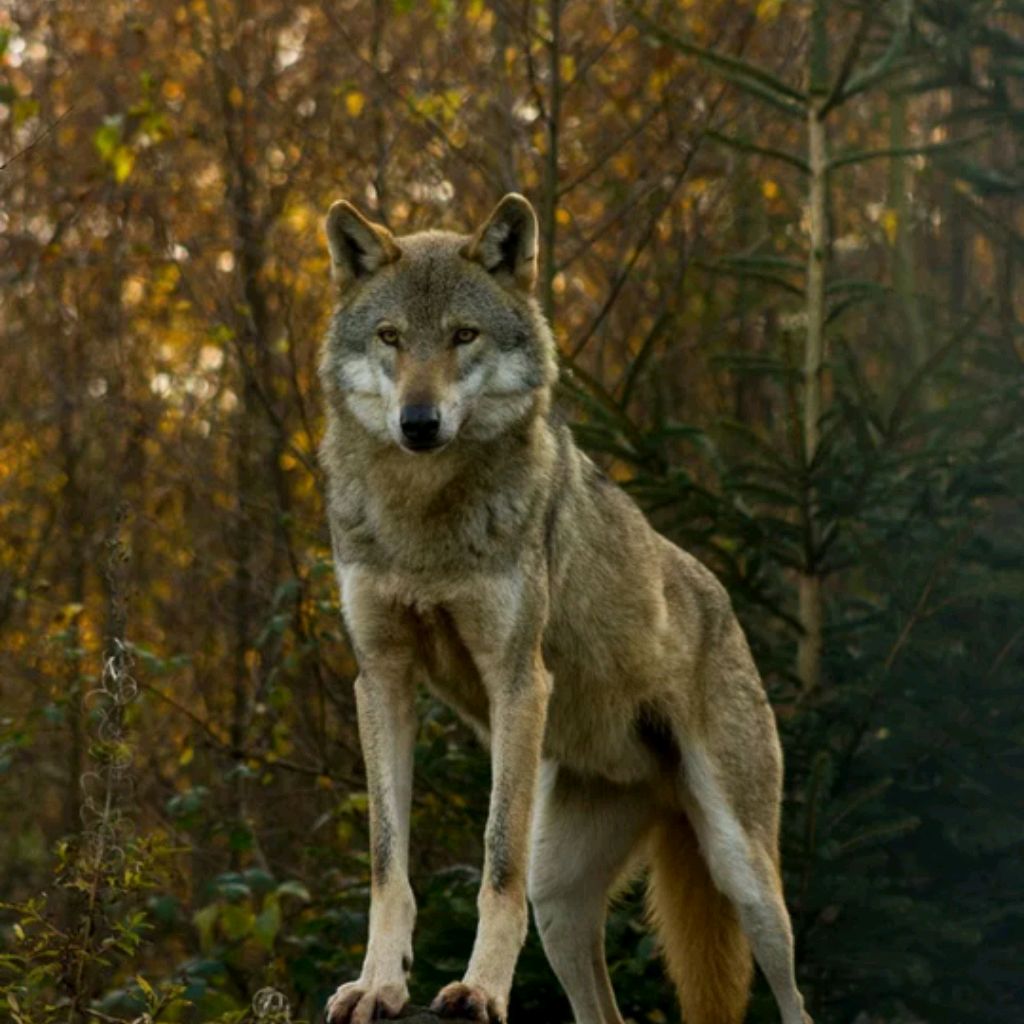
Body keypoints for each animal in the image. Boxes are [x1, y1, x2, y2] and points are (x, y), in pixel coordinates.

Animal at [319, 194, 812, 1024]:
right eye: (391, 337)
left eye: (463, 335)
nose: (418, 422)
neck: (424, 516)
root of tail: (721, 599)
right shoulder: (381, 679)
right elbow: (389, 864)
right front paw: (380, 984)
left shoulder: (518, 679)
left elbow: (495, 864)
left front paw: (480, 990)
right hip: (561, 903)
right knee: (602, 1011)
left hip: (743, 874)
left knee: (794, 995)